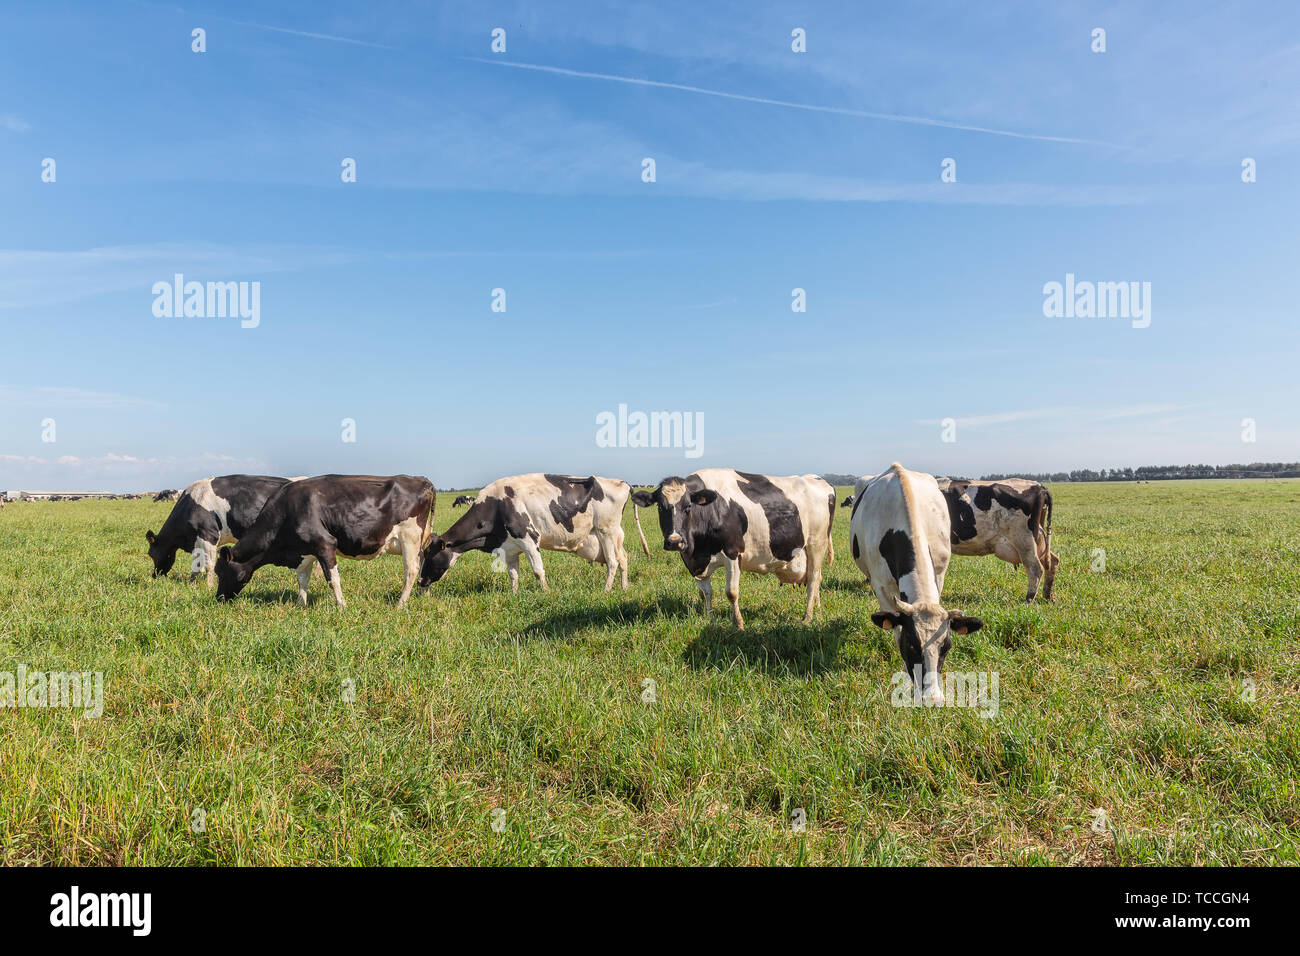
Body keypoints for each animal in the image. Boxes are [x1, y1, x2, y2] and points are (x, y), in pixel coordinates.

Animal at [145, 475, 299, 583]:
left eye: (151, 554)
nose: (154, 575)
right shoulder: (197, 541)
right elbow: (197, 563)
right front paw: (191, 582)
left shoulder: (208, 535)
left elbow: (208, 564)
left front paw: (209, 586)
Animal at [215, 474, 436, 607]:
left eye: (223, 572)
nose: (219, 599)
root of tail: (421, 480)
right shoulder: (305, 551)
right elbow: (302, 579)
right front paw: (300, 604)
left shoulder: (325, 544)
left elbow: (332, 579)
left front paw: (342, 606)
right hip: (420, 541)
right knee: (422, 564)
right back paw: (422, 594)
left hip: (409, 537)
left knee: (411, 570)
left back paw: (401, 603)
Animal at [420, 474, 646, 592]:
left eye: (429, 555)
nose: (421, 581)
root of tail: (622, 483)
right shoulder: (509, 548)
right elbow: (513, 574)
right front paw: (514, 594)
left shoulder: (529, 538)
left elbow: (538, 570)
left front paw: (546, 592)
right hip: (613, 536)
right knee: (623, 559)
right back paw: (624, 587)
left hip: (606, 531)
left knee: (613, 562)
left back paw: (606, 590)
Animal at [632, 469, 834, 630]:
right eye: (660, 507)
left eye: (688, 506)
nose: (675, 541)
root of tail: (817, 479)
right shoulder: (697, 562)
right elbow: (705, 593)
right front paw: (709, 618)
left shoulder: (733, 552)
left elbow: (731, 592)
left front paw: (738, 624)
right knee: (816, 577)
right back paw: (817, 608)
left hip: (817, 543)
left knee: (813, 578)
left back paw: (807, 617)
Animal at [850, 463, 983, 704]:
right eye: (911, 645)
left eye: (946, 647)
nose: (933, 698)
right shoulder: (881, 587)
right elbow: (896, 629)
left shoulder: (940, 572)